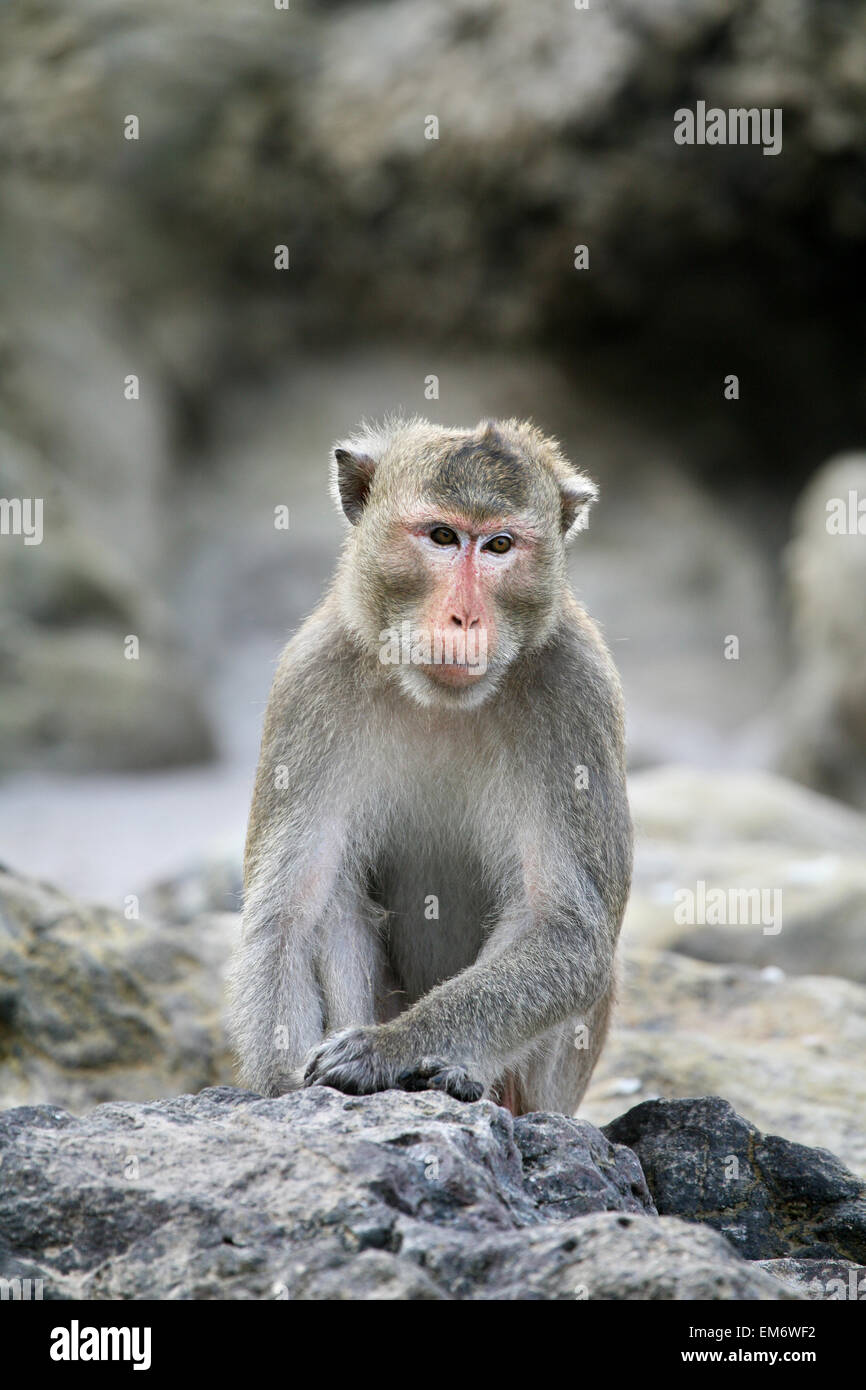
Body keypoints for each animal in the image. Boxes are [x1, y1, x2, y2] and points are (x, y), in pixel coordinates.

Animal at [228, 415, 632, 1116]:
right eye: (443, 537)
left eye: (499, 545)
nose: (463, 616)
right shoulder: (312, 679)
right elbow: (289, 913)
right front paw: (282, 1090)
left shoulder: (578, 692)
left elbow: (564, 930)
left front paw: (388, 1048)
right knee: (334, 898)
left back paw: (464, 1081)